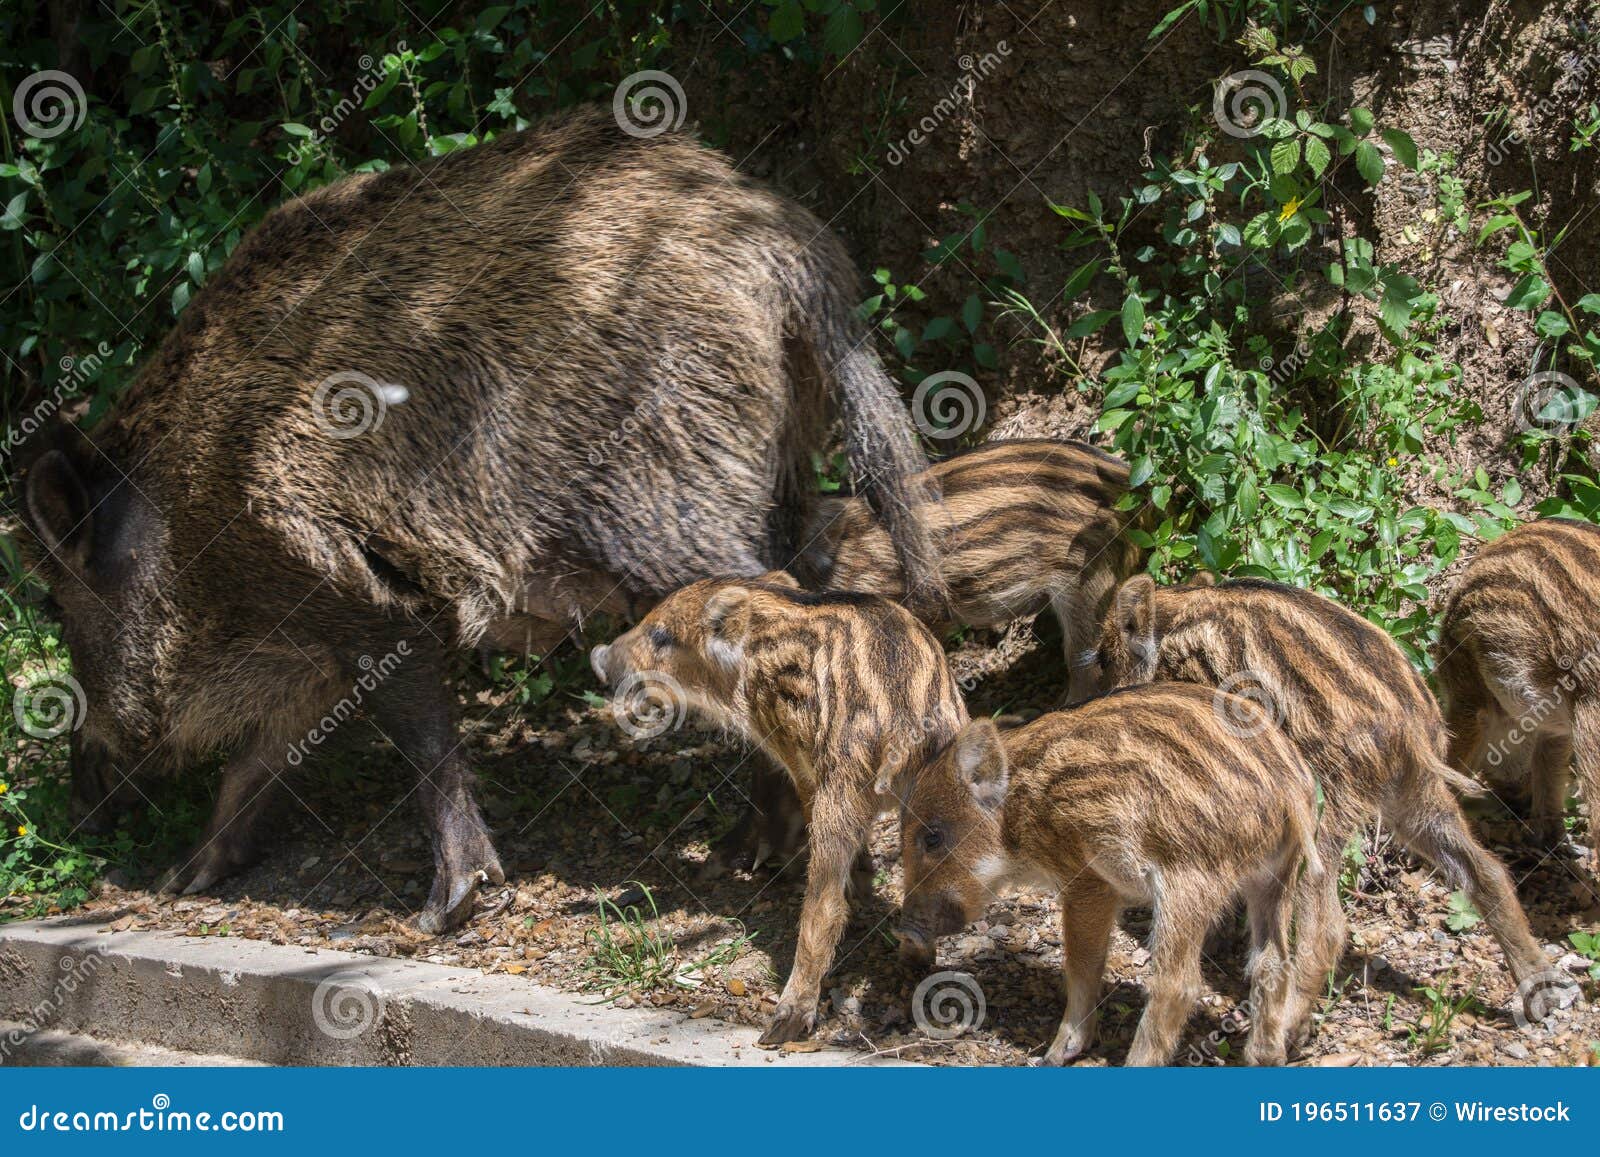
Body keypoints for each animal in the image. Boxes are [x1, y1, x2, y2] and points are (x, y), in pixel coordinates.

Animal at [14, 105, 942, 935]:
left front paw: (442, 912)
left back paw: (762, 857)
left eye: (57, 602)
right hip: (783, 463)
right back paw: (747, 848)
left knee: (768, 611)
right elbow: (262, 756)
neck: (194, 512)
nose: (80, 805)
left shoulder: (367, 590)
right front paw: (189, 877)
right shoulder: (307, 639)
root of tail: (786, 247)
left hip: (676, 503)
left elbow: (420, 736)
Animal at [589, 573, 967, 1044]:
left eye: (662, 636)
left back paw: (782, 1024)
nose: (597, 657)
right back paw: (917, 957)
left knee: (824, 906)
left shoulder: (799, 760)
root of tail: (906, 724)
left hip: (840, 788)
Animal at [898, 684, 1322, 1066]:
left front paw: (1056, 1055)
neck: (1017, 811)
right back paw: (1266, 1057)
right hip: (1274, 877)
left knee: (1178, 983)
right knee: (1272, 961)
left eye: (932, 837)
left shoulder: (1087, 880)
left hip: (1190, 879)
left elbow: (1082, 961)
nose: (906, 930)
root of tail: (1288, 785)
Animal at [1091, 574, 1554, 1046]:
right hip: (1417, 798)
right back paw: (1541, 992)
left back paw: (1288, 1033)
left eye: (1105, 658)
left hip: (1328, 810)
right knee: (1487, 871)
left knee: (1327, 930)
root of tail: (1408, 728)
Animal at [1436, 517, 1600, 875]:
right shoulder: (1555, 727)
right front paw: (1549, 847)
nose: (1511, 805)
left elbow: (1453, 756)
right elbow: (1549, 772)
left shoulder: (1469, 696)